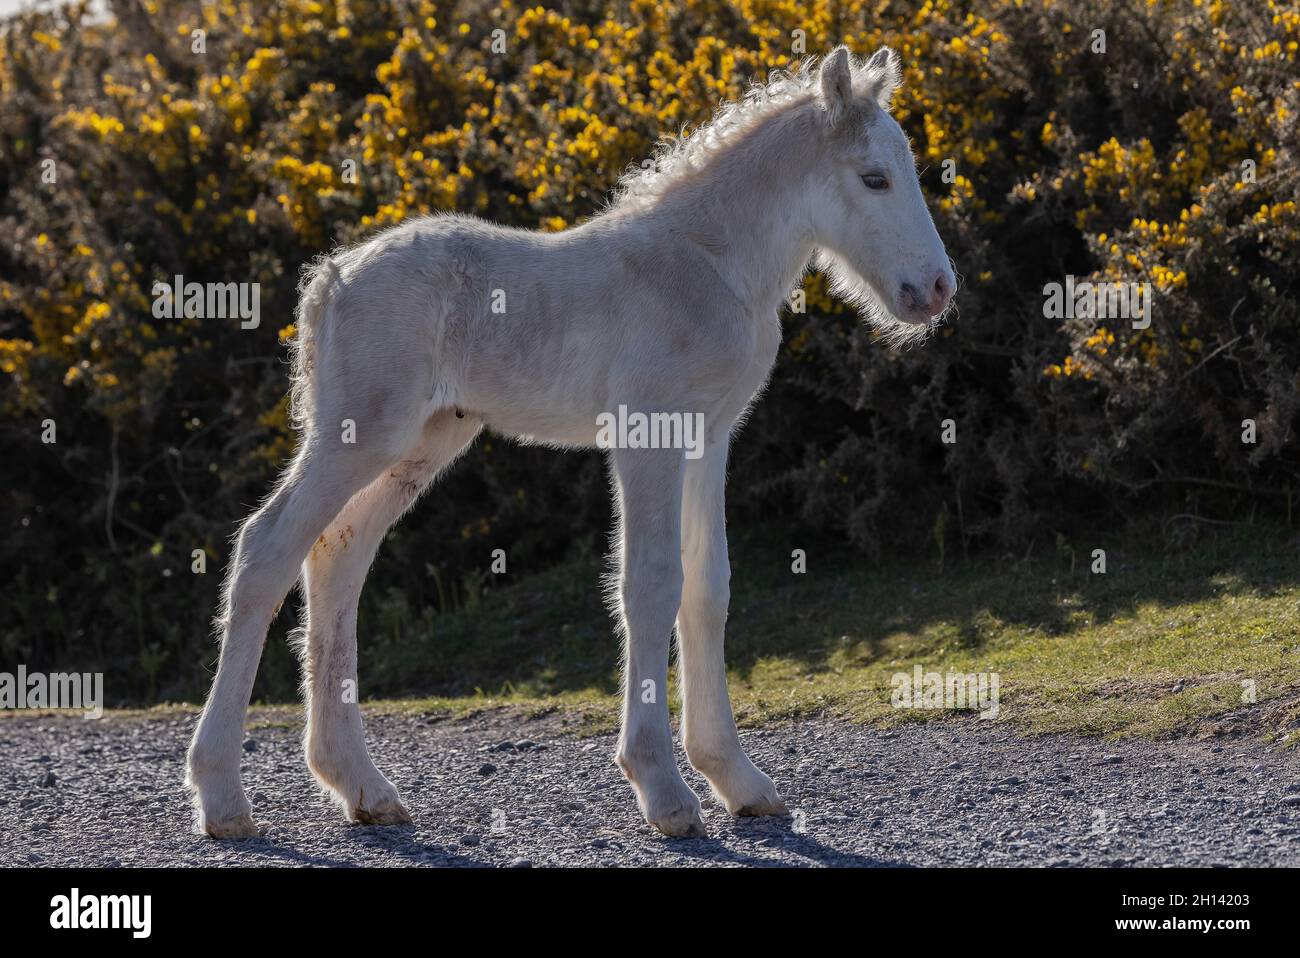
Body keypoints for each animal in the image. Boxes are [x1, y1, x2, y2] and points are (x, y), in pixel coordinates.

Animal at [185, 45, 955, 840]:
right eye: (874, 177)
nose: (936, 289)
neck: (708, 264)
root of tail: (330, 280)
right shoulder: (648, 433)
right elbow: (650, 584)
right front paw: (664, 790)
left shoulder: (708, 439)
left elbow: (708, 588)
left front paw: (737, 780)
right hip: (359, 434)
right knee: (267, 548)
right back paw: (223, 798)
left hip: (420, 443)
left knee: (337, 556)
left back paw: (362, 788)